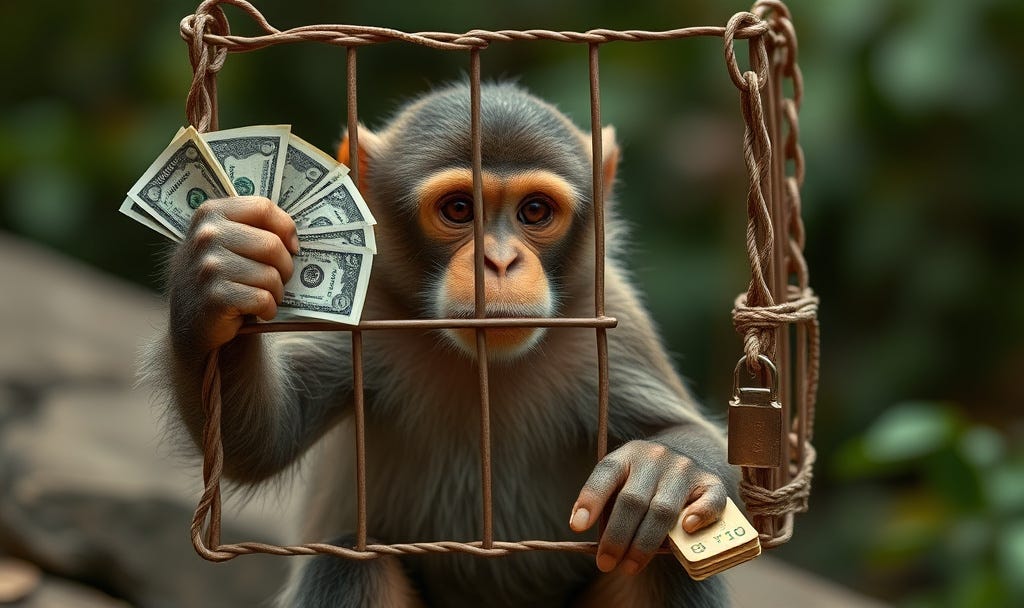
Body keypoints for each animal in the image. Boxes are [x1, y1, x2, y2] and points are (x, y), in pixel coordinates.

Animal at [143, 81, 737, 607]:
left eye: (535, 212)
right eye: (457, 210)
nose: (497, 262)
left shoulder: (611, 313)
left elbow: (698, 440)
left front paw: (666, 469)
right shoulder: (370, 311)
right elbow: (262, 441)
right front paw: (216, 275)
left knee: (664, 565)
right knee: (350, 568)